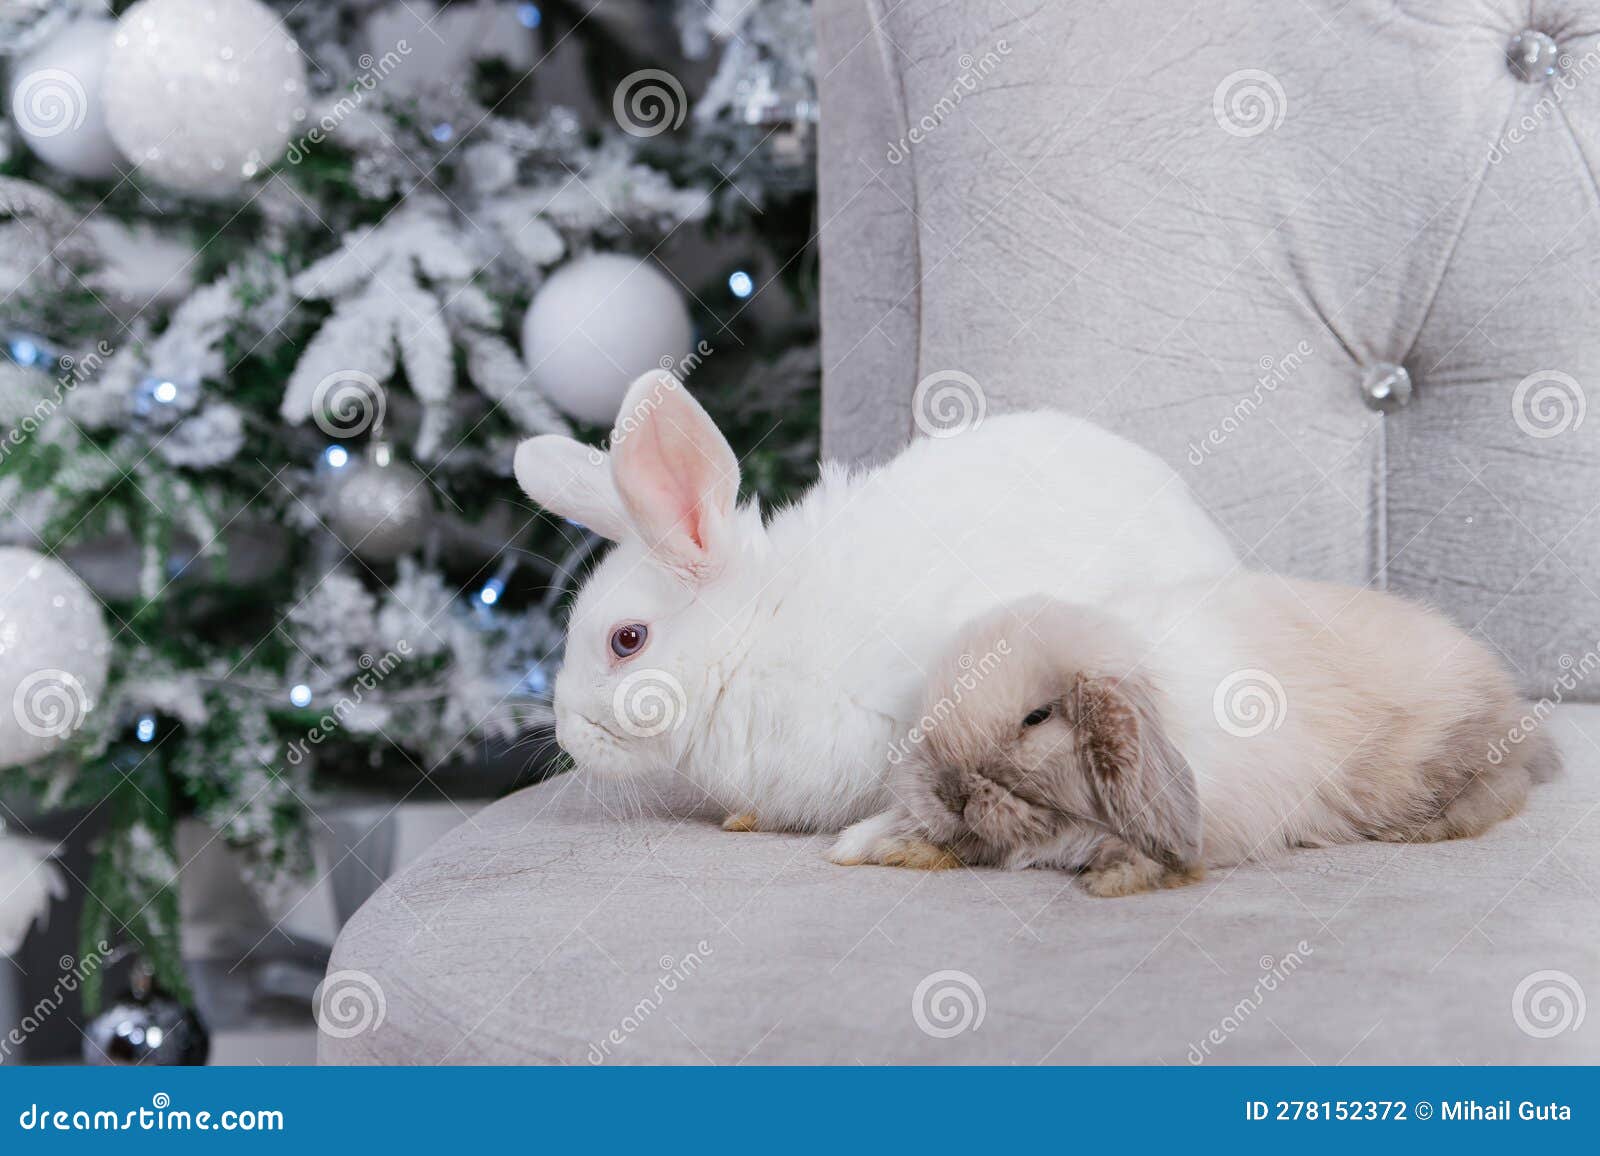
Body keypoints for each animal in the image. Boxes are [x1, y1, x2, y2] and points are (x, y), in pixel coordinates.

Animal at [828, 578, 1560, 895]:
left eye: (1037, 718)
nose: (950, 792)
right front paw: (866, 845)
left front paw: (1118, 877)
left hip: (1441, 755)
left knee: (1502, 787)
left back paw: (1428, 829)